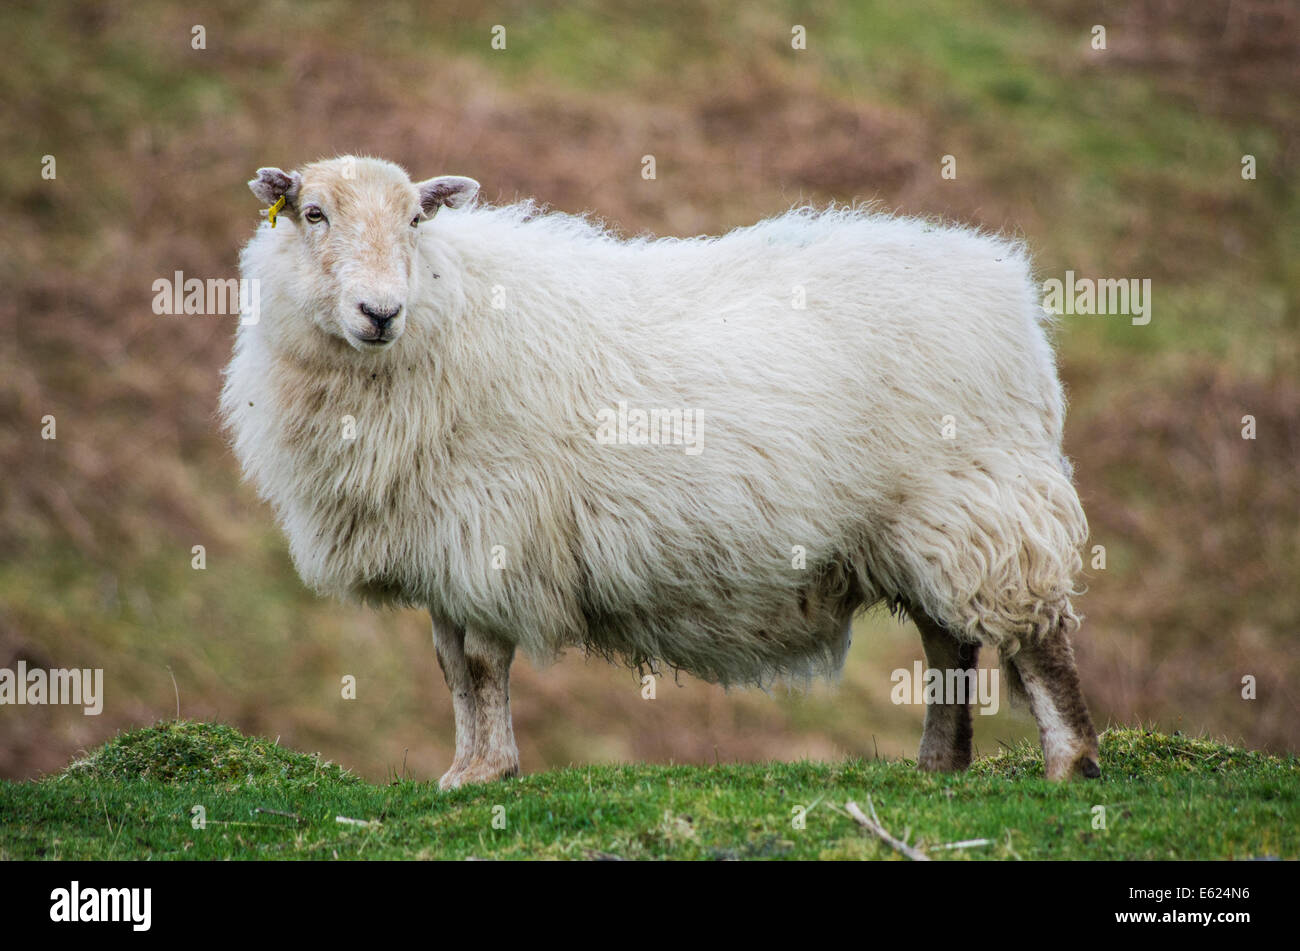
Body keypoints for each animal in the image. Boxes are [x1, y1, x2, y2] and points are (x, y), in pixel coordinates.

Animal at [221, 155, 1100, 787]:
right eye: (312, 214)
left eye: (414, 219)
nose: (380, 312)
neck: (443, 310)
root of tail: (1005, 286)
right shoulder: (441, 542)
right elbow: (451, 667)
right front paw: (462, 769)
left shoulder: (492, 525)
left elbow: (480, 663)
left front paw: (487, 773)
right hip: (925, 525)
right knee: (949, 643)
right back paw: (939, 766)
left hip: (985, 503)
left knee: (1037, 640)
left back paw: (1072, 762)